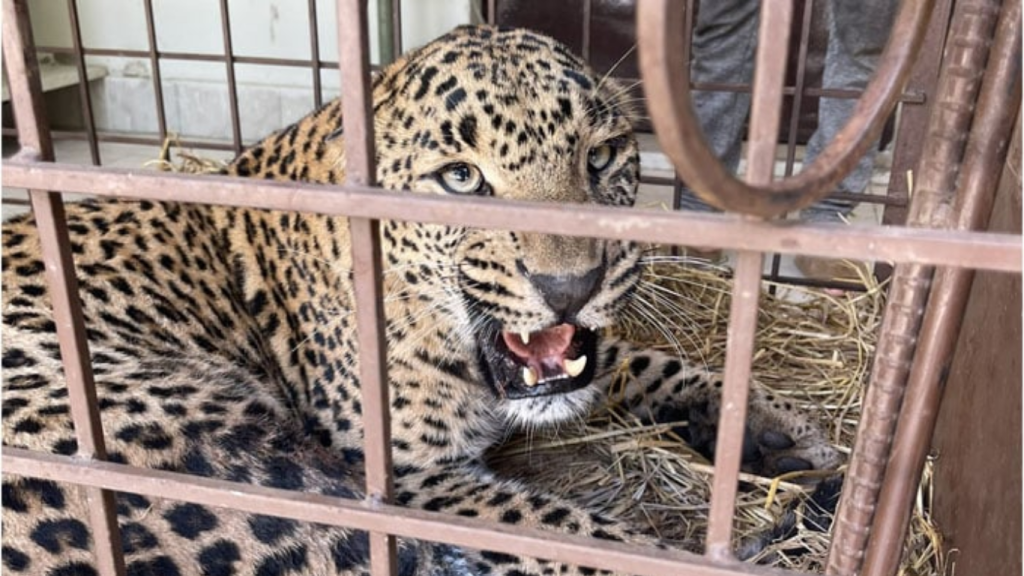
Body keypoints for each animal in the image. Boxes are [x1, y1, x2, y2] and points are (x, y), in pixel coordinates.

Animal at [2, 24, 842, 576]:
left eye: (601, 157)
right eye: (462, 179)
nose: (570, 288)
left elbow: (644, 364)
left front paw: (775, 433)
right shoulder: (411, 480)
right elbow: (575, 536)